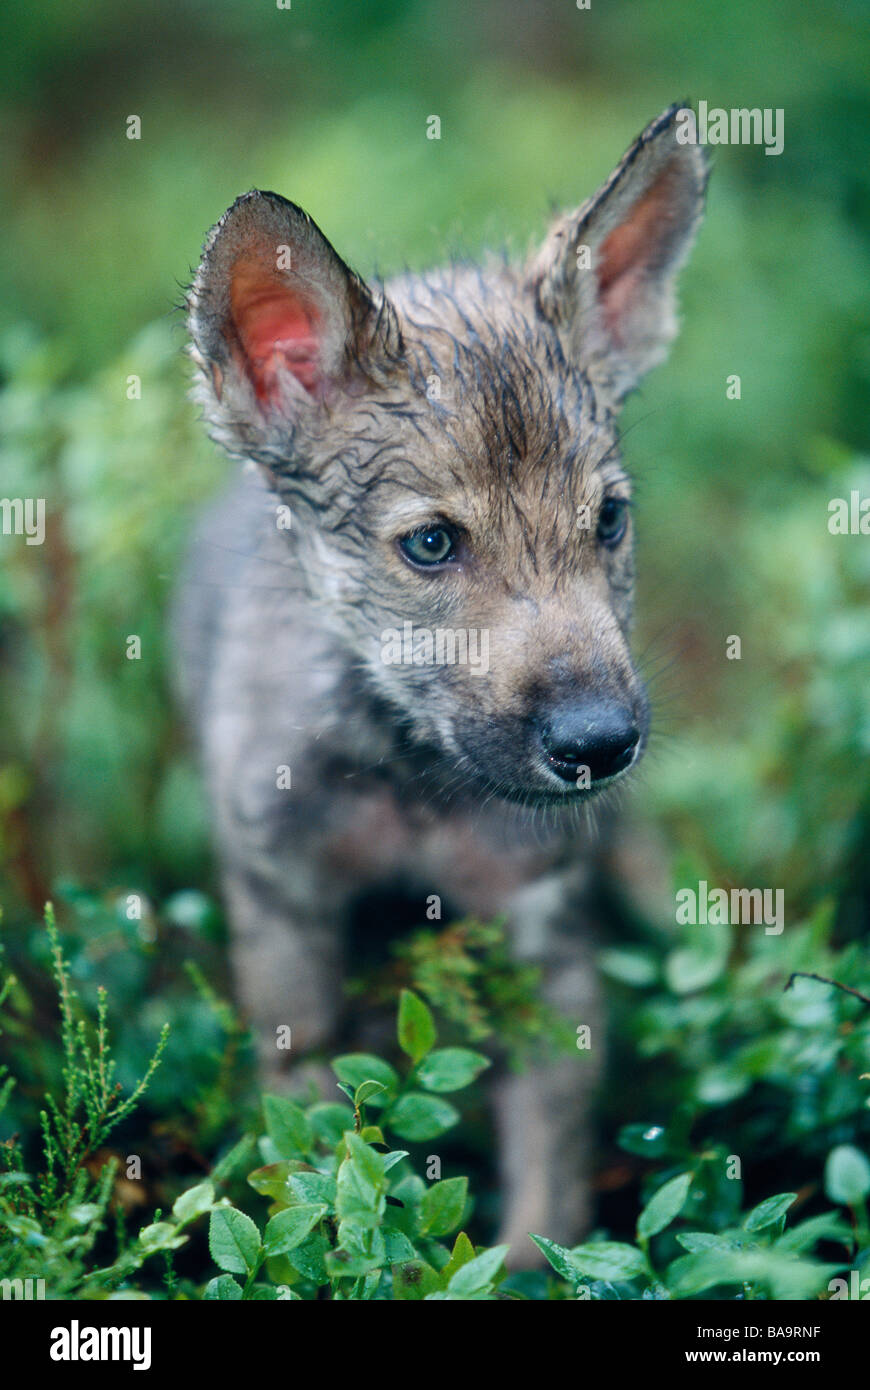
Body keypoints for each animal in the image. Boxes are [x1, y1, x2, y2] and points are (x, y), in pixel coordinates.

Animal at [175, 104, 707, 1256]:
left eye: (609, 519)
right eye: (429, 544)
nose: (601, 744)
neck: (410, 779)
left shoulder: (547, 942)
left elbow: (547, 1204)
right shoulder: (286, 917)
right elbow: (312, 1162)